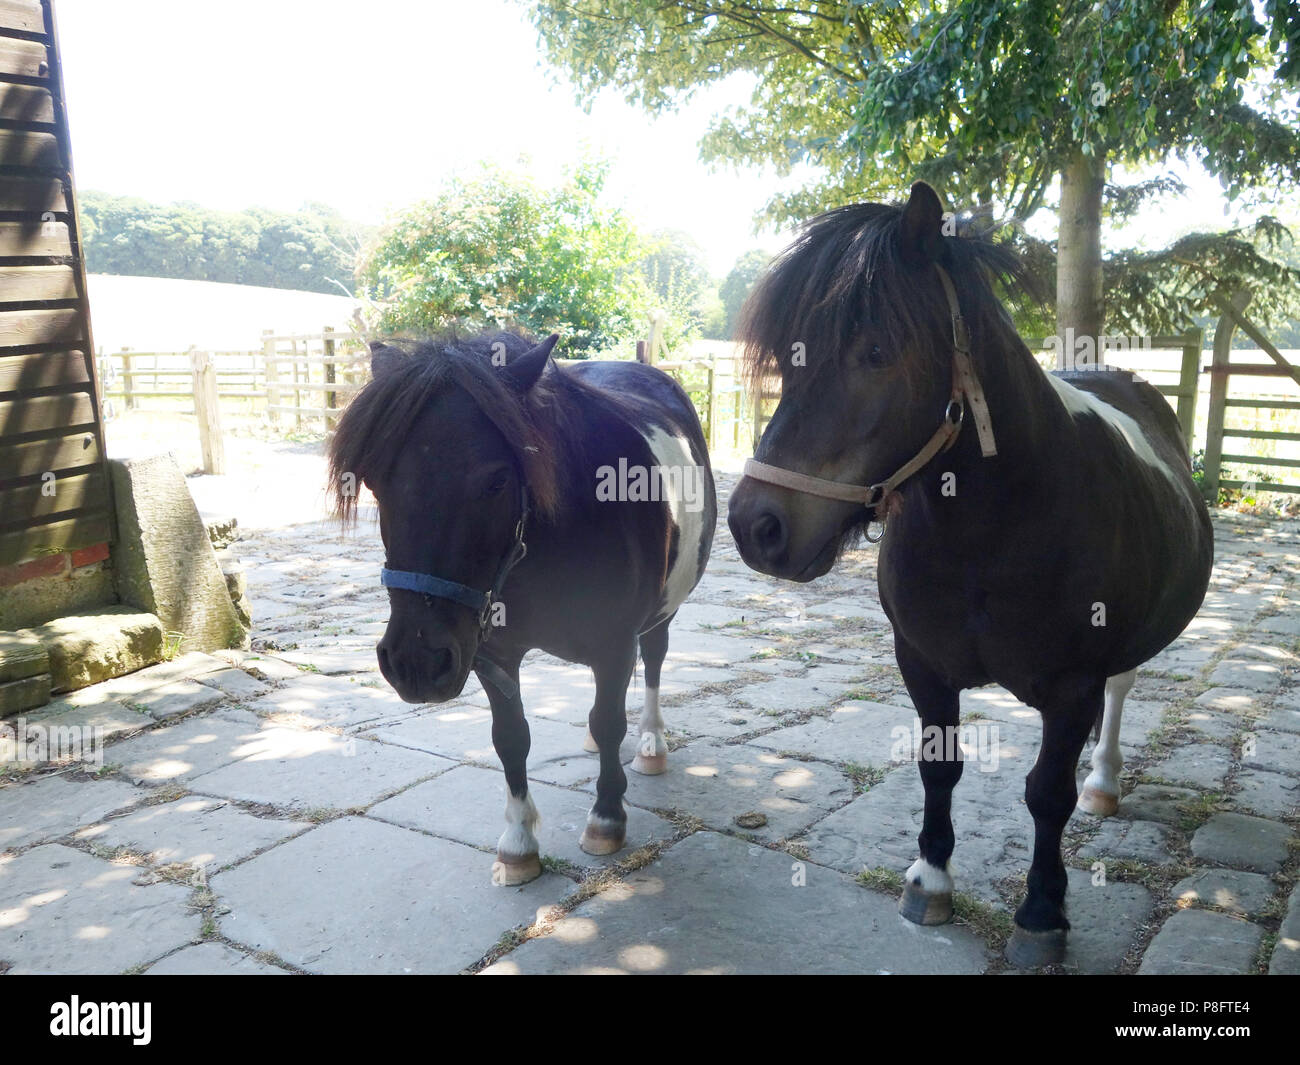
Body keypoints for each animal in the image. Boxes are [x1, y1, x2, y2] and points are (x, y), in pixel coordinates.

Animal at [328, 331, 716, 886]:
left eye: (496, 482)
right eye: (375, 481)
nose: (415, 663)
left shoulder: (615, 645)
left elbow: (609, 719)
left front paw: (606, 818)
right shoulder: (490, 653)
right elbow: (510, 738)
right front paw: (517, 842)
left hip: (663, 611)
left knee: (655, 661)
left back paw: (651, 742)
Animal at [727, 182, 1213, 967]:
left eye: (875, 350)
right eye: (787, 359)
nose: (756, 525)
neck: (991, 532)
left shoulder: (1072, 687)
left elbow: (1048, 794)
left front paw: (1042, 913)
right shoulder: (921, 663)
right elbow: (938, 766)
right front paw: (931, 877)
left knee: (1121, 691)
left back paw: (1105, 781)